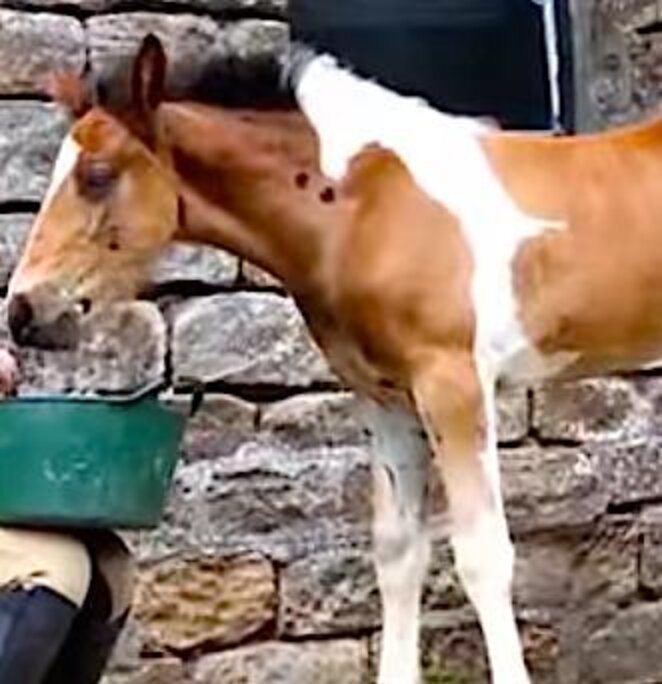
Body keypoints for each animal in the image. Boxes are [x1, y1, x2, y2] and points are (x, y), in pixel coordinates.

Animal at [8, 33, 662, 684]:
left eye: (97, 175)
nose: (22, 310)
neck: (369, 207)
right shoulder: (385, 398)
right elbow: (398, 551)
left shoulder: (454, 385)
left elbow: (483, 555)